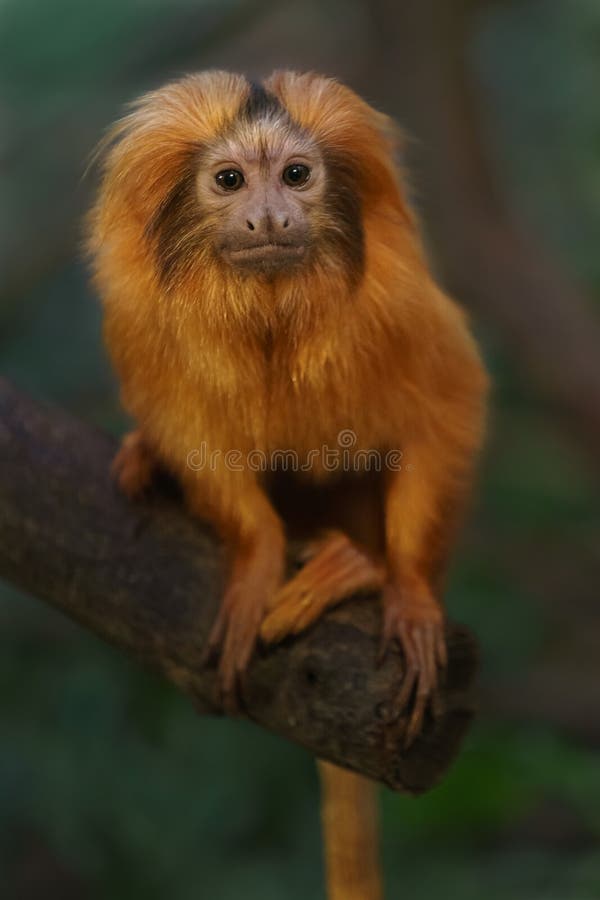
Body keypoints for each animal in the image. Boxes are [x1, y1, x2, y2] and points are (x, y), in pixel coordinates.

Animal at [88, 70, 488, 900]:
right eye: (229, 180)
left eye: (297, 175)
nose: (269, 214)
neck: (271, 304)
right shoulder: (145, 326)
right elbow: (196, 442)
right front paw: (255, 568)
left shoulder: (395, 303)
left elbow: (448, 410)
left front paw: (409, 592)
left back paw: (355, 564)